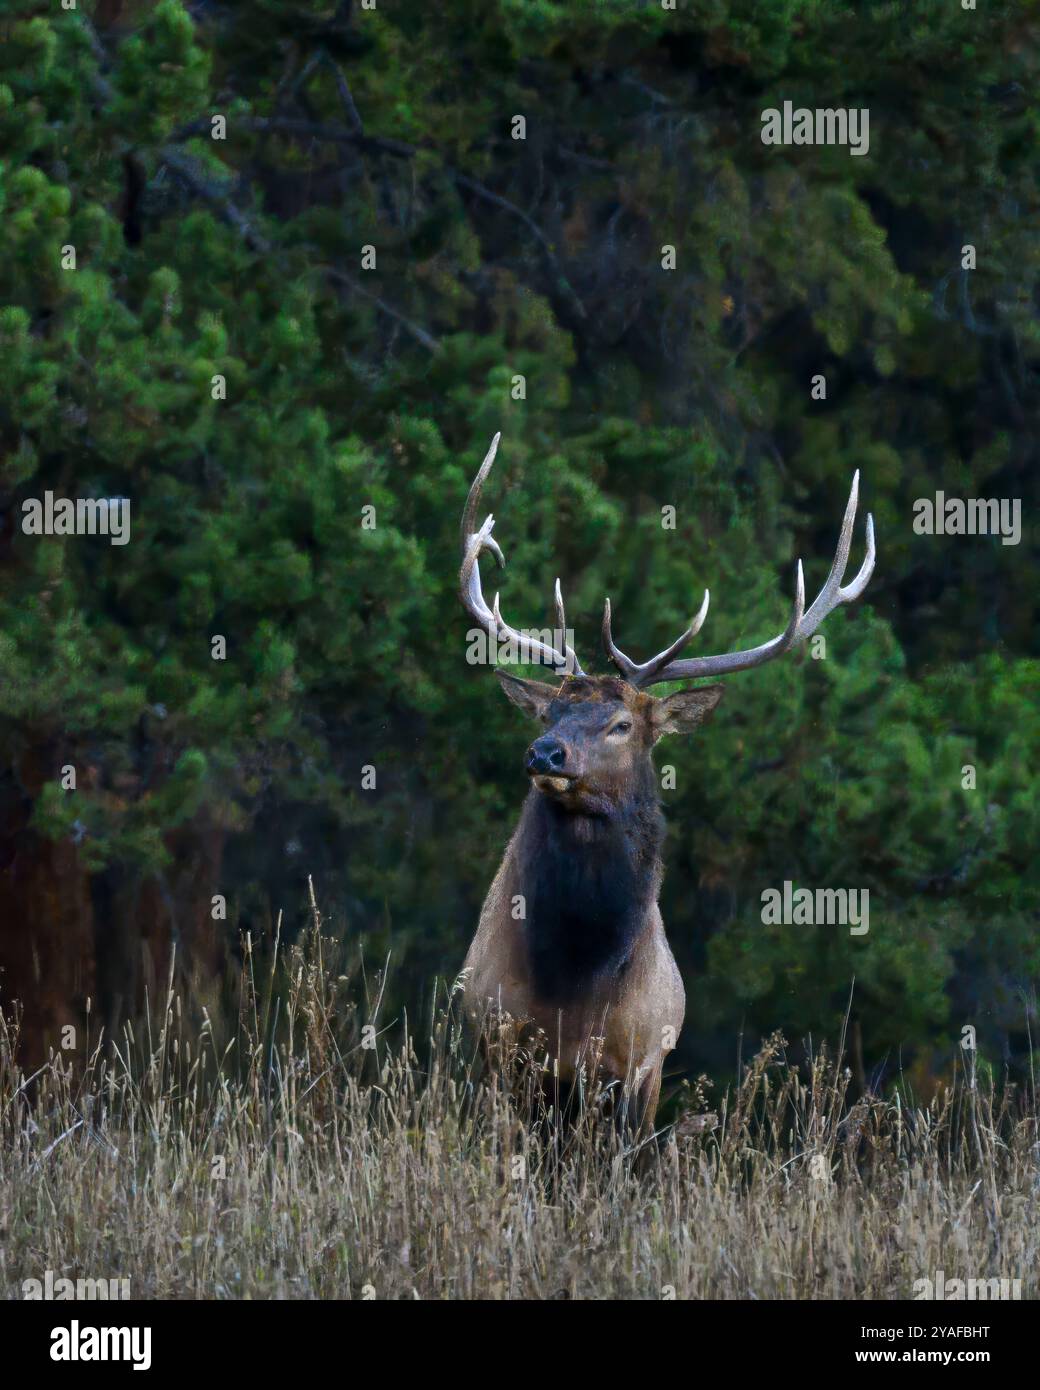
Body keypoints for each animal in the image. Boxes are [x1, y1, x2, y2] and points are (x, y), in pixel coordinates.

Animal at [458, 434, 875, 1131]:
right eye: (550, 711)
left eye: (623, 723)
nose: (544, 753)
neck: (575, 986)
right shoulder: (498, 1041)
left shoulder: (641, 1062)